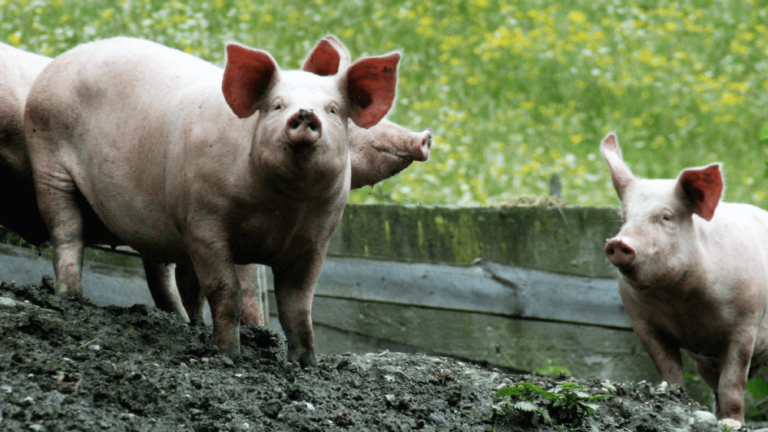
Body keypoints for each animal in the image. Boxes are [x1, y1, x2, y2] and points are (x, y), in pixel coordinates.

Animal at [0, 40, 431, 328]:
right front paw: (256, 332)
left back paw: (180, 322)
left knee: (161, 274)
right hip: (51, 164)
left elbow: (199, 281)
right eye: (356, 121)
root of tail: (54, 68)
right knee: (67, 233)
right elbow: (245, 283)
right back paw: (70, 300)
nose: (424, 137)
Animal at [601, 132, 768, 427]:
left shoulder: (746, 322)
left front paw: (732, 424)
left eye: (666, 216)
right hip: (706, 363)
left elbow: (733, 384)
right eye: (624, 217)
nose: (618, 243)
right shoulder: (643, 323)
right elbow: (669, 372)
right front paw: (676, 400)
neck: (680, 299)